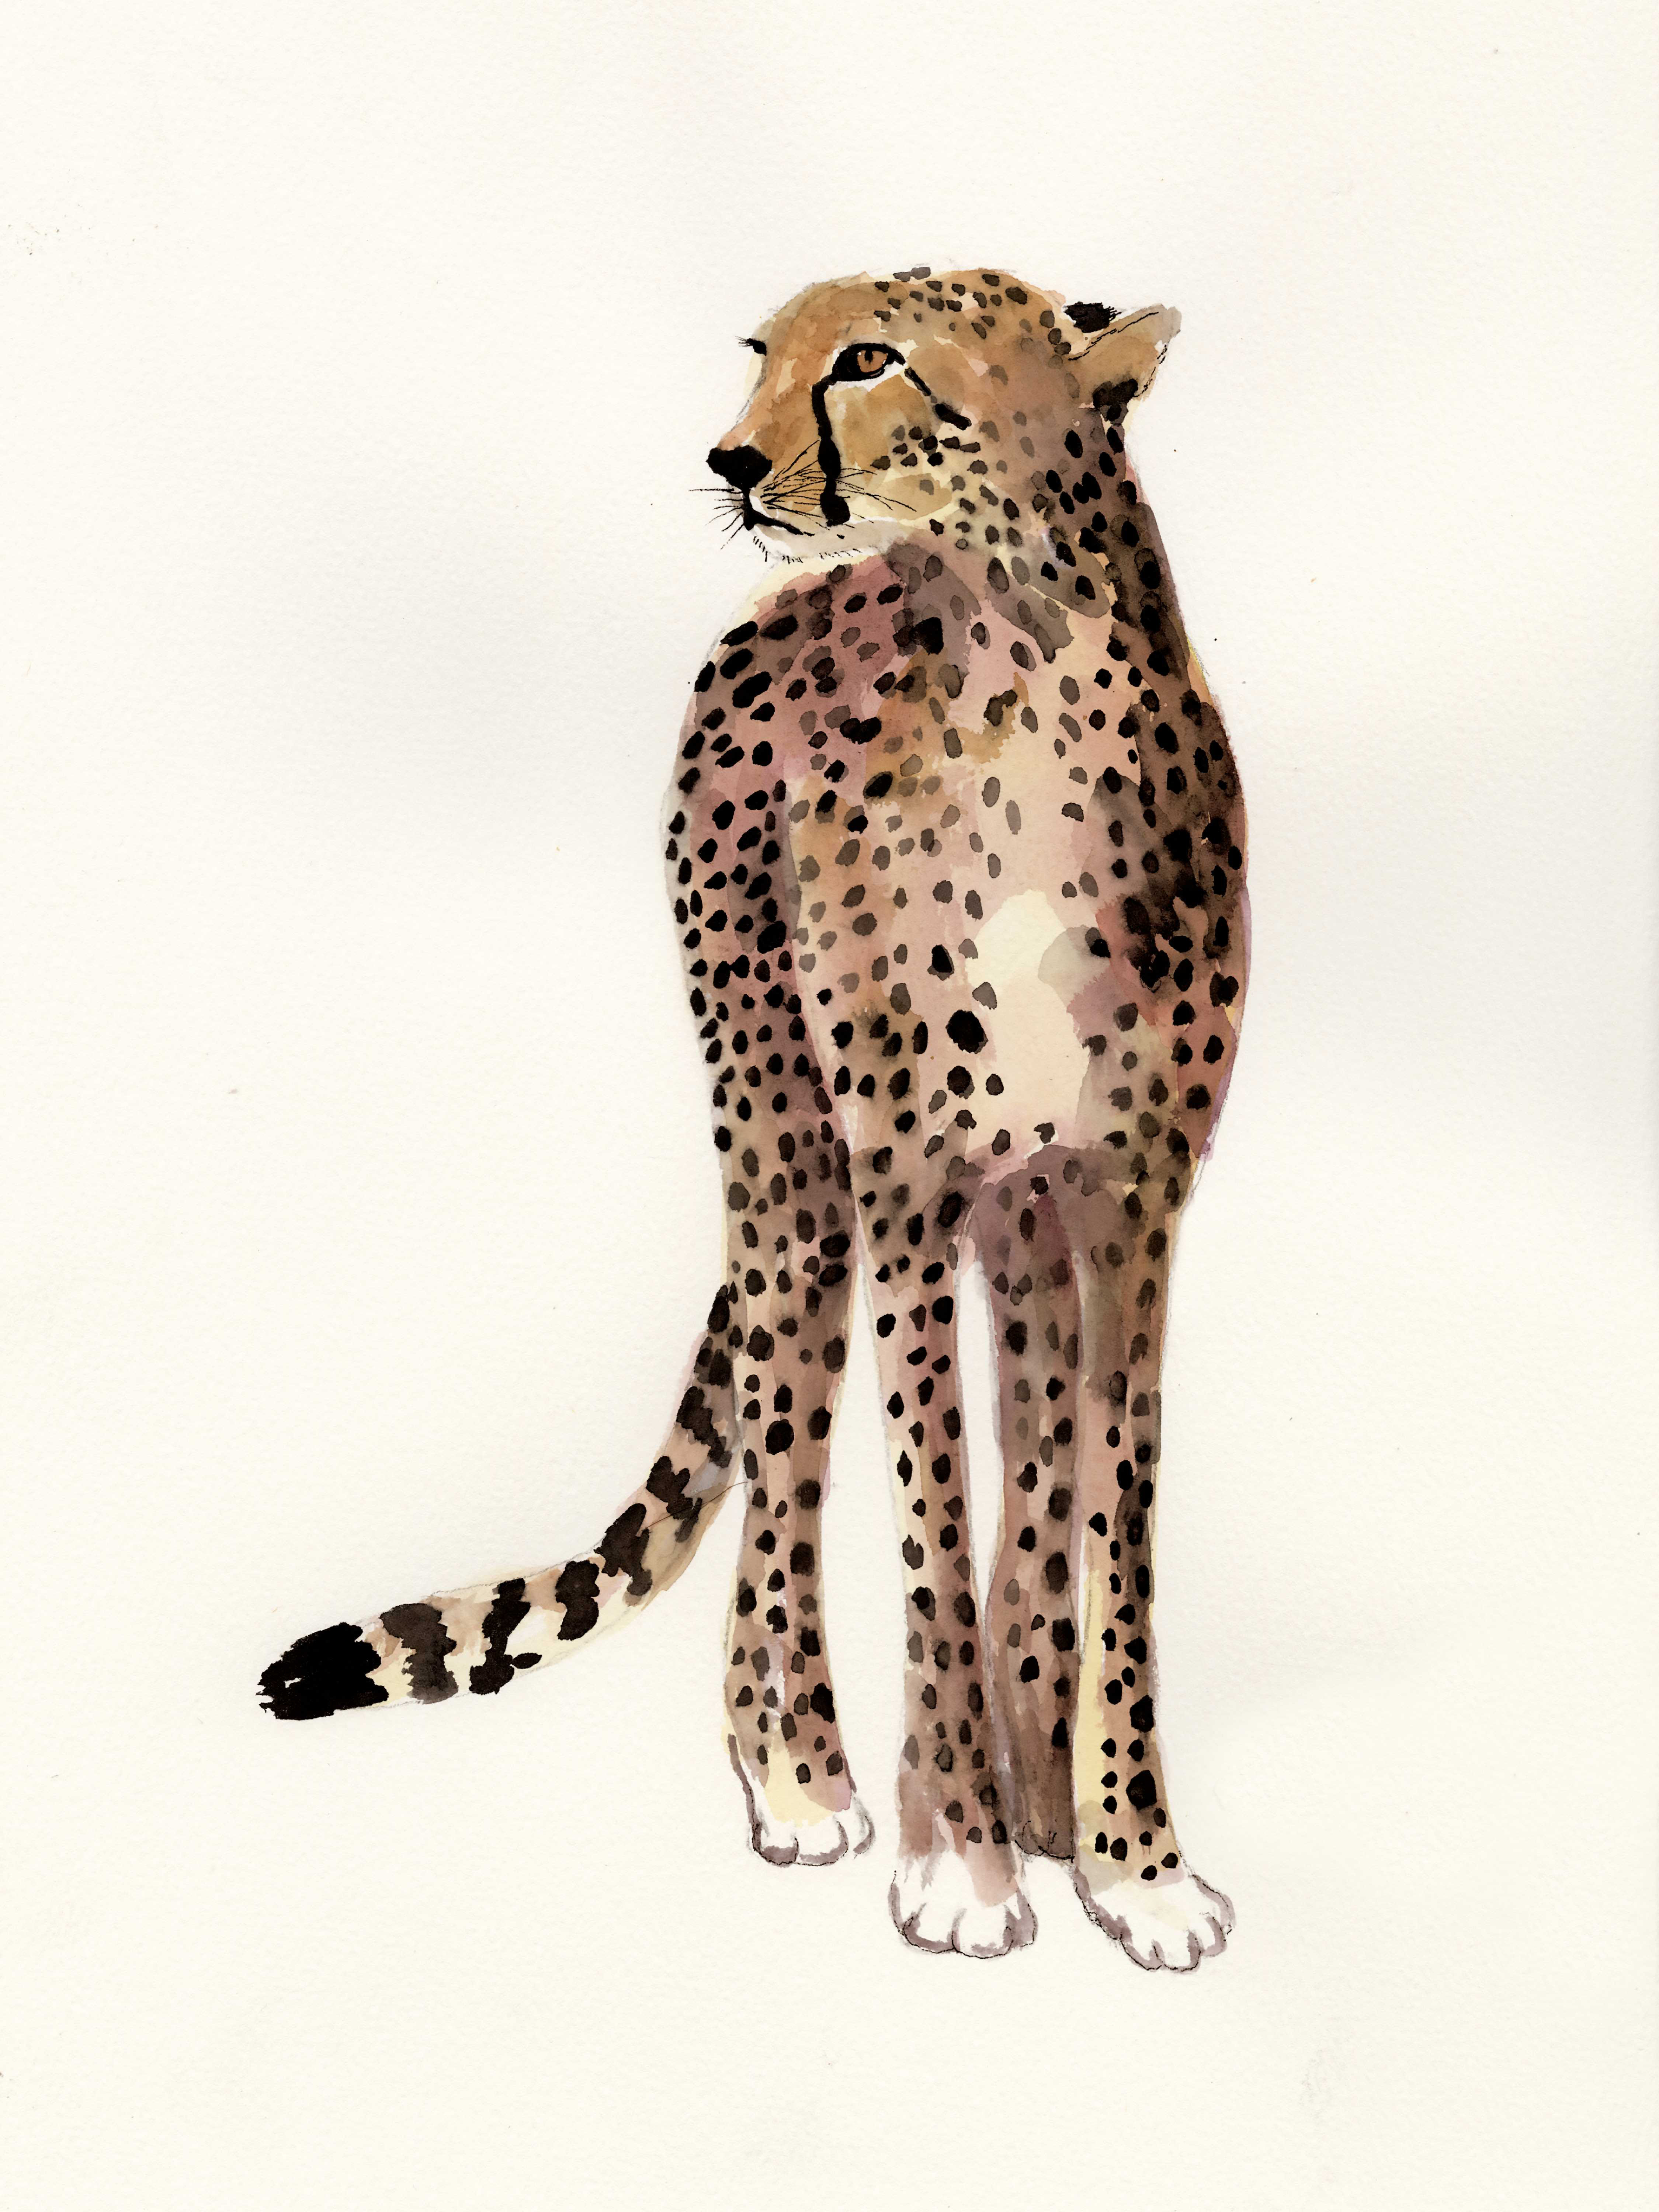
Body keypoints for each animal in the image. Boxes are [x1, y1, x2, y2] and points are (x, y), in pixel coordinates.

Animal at [260, 266, 1249, 1969]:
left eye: (867, 361)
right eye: (765, 357)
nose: (729, 460)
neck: (1030, 666)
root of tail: (769, 613)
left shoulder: (1130, 1201)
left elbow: (1101, 1531)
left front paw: (1127, 1861)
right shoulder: (911, 1186)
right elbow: (925, 1529)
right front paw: (962, 1866)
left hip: (1017, 1222)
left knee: (1024, 1470)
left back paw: (1035, 1786)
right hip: (790, 1159)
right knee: (783, 1459)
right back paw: (800, 1777)